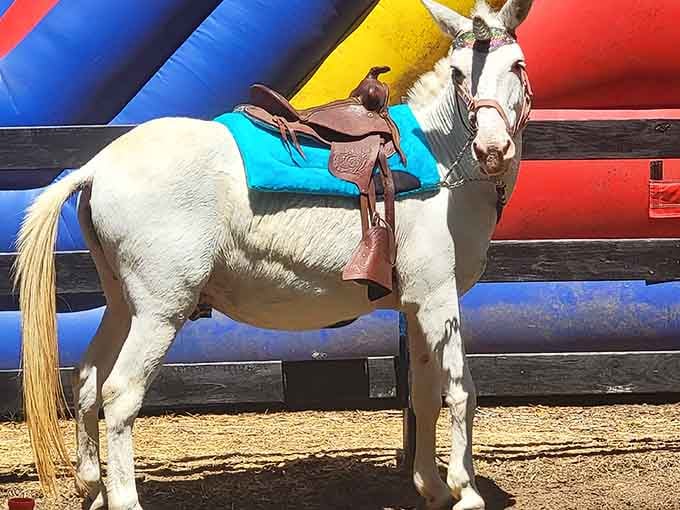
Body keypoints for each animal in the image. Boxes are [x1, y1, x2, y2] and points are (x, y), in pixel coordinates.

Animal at [15, 1, 535, 508]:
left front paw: (431, 486)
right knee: (120, 394)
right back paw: (123, 497)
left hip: (124, 304)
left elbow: (423, 394)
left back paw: (92, 487)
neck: (443, 159)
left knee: (85, 380)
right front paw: (465, 489)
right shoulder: (439, 299)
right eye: (459, 73)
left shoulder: (417, 305)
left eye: (517, 65)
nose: (491, 149)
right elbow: (461, 391)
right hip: (160, 311)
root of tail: (97, 167)